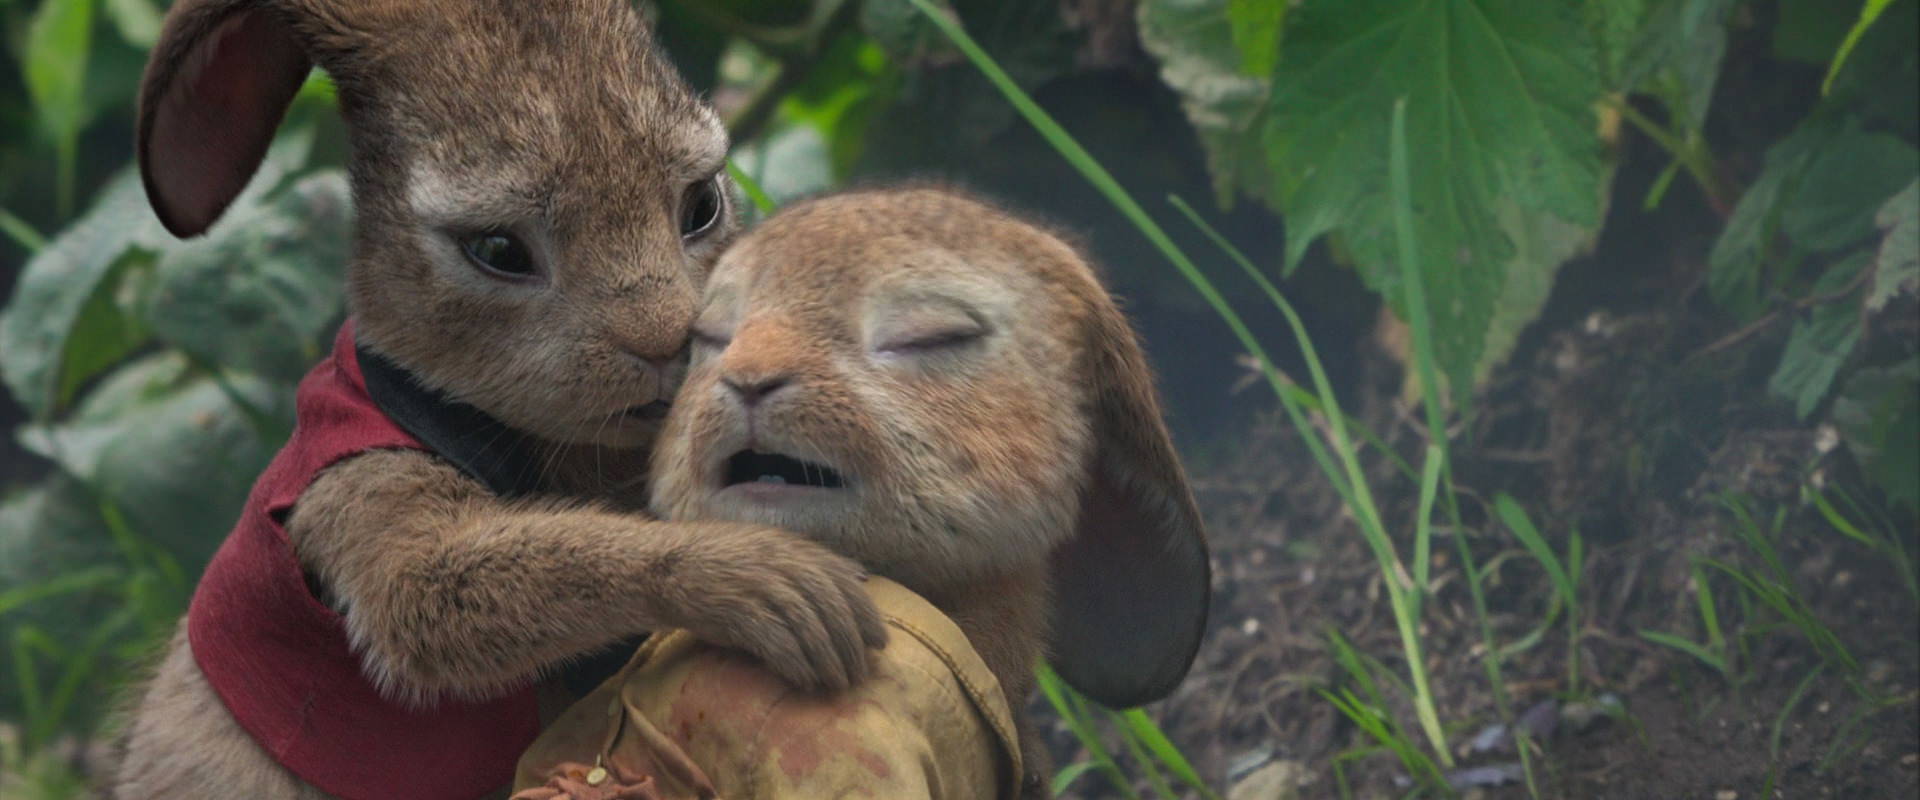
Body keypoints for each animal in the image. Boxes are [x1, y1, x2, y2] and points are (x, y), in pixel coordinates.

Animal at [111, 2, 886, 798]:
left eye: (701, 204)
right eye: (498, 250)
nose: (667, 341)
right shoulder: (357, 482)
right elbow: (429, 596)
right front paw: (776, 584)